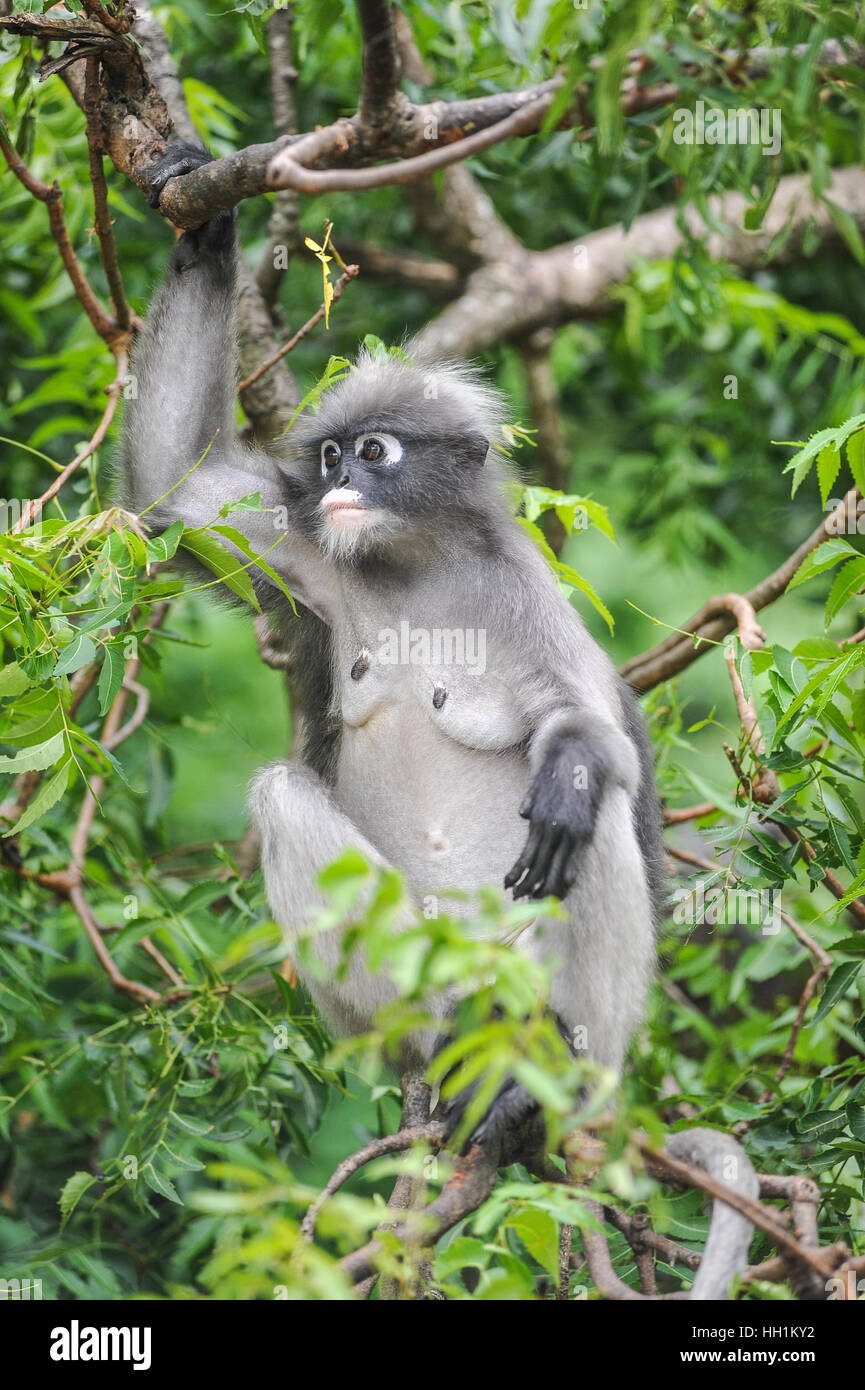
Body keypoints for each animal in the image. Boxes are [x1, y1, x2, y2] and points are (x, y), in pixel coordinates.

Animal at [119, 142, 759, 1297]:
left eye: (375, 452)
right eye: (331, 458)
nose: (337, 481)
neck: (416, 572)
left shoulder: (522, 593)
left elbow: (594, 740)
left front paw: (569, 768)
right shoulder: (309, 555)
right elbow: (175, 490)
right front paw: (202, 211)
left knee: (585, 821)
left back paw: (542, 1083)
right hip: (422, 974)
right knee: (288, 798)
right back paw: (450, 1058)